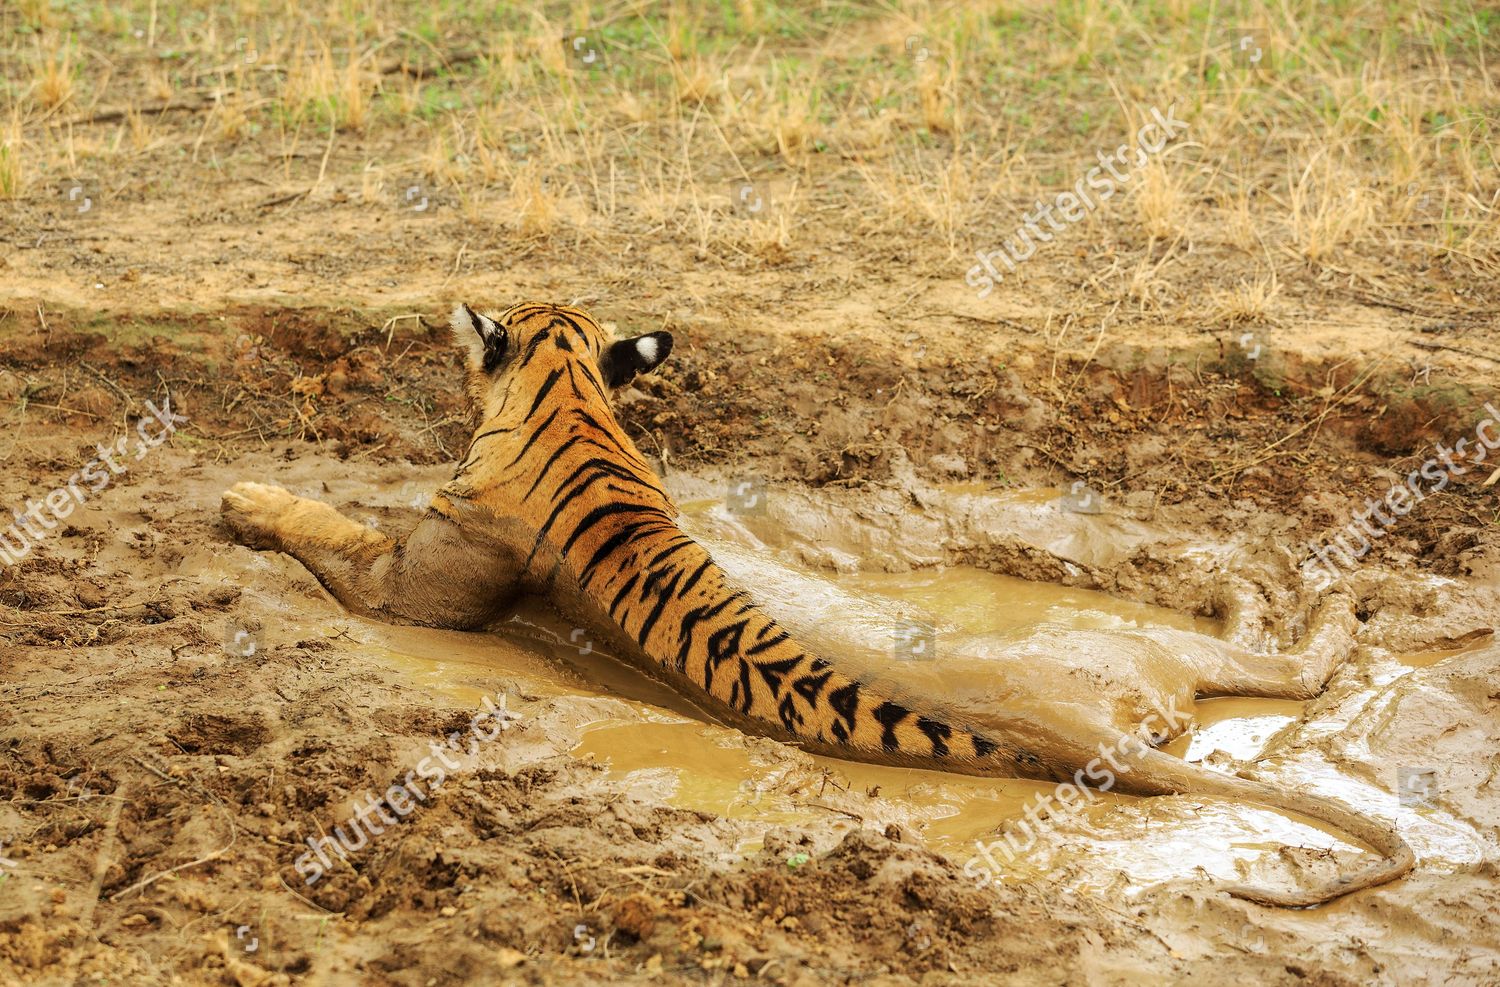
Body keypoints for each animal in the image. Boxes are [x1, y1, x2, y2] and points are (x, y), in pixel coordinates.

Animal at [221, 301, 1413, 907]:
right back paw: (1296, 592)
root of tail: (1085, 740)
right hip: (1145, 652)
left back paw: (1306, 589)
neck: (572, 396)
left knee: (1290, 663)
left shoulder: (411, 592)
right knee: (1280, 667)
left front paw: (245, 498)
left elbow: (332, 529)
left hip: (1114, 630)